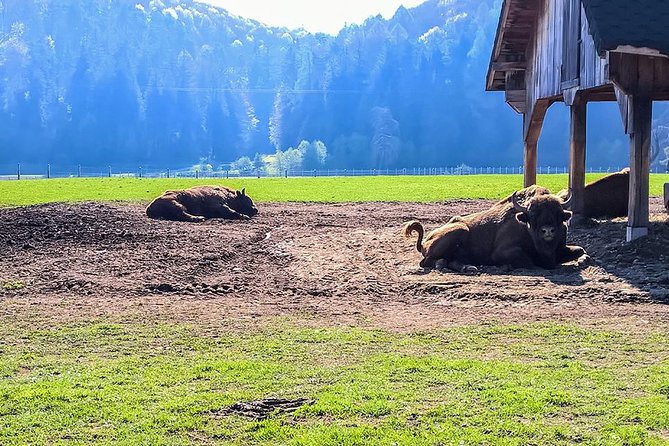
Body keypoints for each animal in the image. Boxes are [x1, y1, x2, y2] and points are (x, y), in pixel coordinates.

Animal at [403, 186, 586, 273]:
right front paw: (506, 267)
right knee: (428, 262)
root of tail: (425, 241)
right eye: (533, 215)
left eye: (558, 214)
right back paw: (445, 264)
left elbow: (579, 250)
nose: (547, 231)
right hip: (460, 230)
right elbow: (528, 261)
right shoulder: (502, 251)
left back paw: (468, 268)